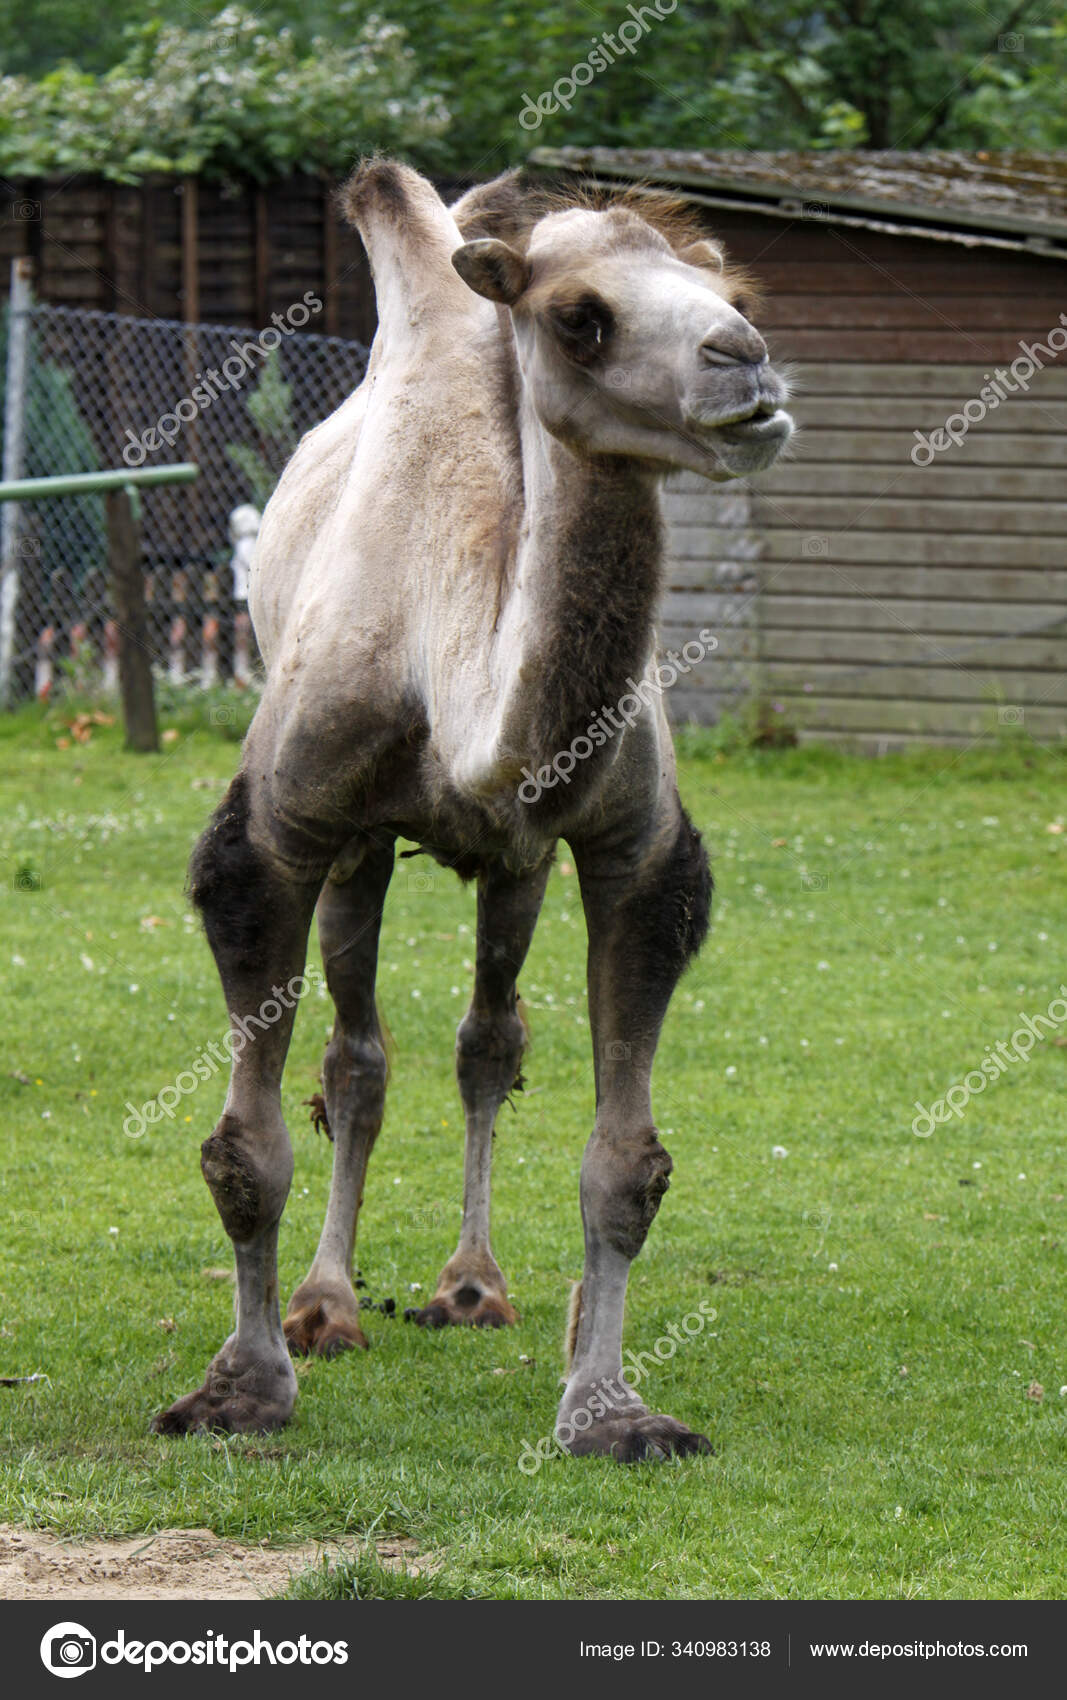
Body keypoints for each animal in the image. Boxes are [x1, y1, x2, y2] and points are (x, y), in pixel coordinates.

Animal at [153, 161, 793, 1461]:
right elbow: (245, 1148)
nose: (745, 363)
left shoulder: (624, 847)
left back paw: (467, 1283)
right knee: (356, 1056)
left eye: (727, 291)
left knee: (485, 1039)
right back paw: (326, 1304)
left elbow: (625, 1161)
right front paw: (238, 1390)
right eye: (580, 316)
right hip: (359, 852)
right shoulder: (278, 835)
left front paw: (608, 1408)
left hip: (514, 865)